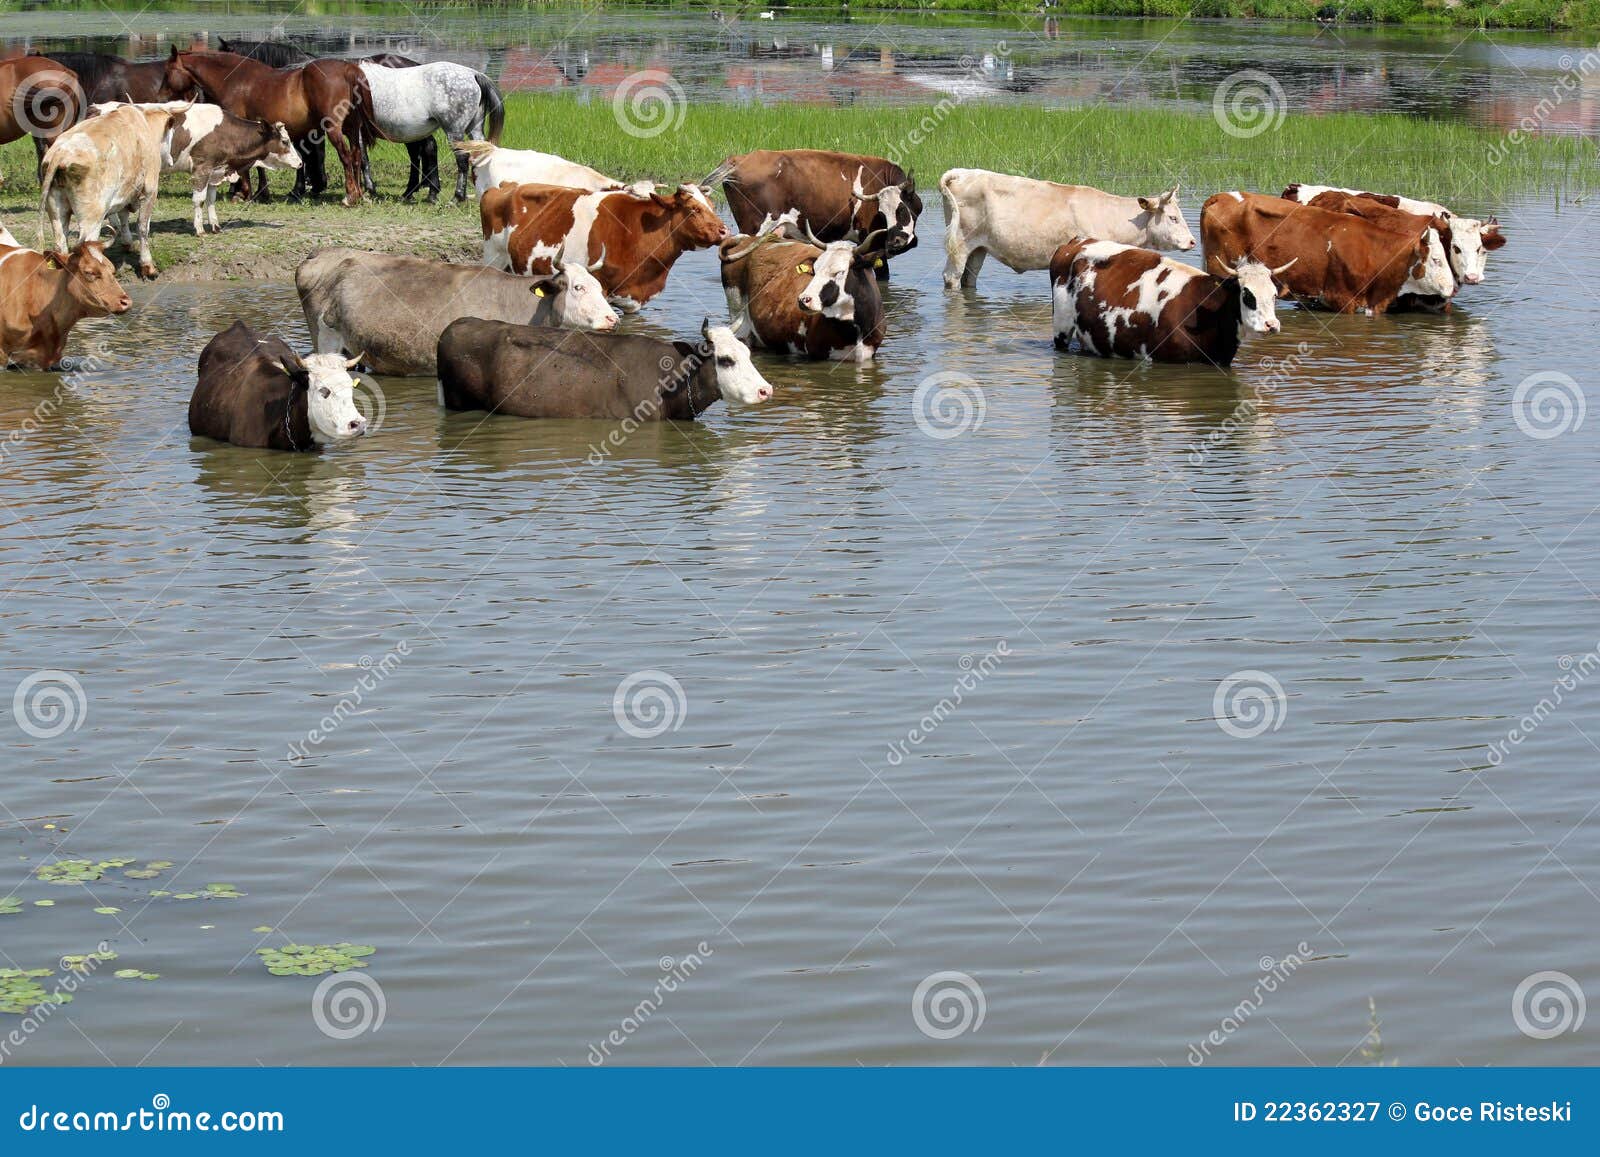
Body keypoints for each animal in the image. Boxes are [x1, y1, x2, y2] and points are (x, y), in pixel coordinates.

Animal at [39, 101, 189, 280]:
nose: (171, 159)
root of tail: (60, 153)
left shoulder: (124, 194)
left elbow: (123, 217)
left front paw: (127, 243)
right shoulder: (149, 192)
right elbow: (143, 227)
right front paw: (148, 267)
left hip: (57, 213)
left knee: (60, 247)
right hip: (91, 219)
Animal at [479, 181, 726, 312]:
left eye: (712, 206)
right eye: (693, 210)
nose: (724, 230)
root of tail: (506, 186)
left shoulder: (632, 300)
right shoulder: (602, 290)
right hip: (493, 258)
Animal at [719, 220, 889, 362]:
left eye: (839, 272)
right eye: (815, 269)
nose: (804, 300)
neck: (856, 329)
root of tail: (746, 239)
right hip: (738, 317)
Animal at [939, 169, 1196, 289]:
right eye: (1173, 218)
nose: (1193, 241)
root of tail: (962, 172)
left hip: (978, 248)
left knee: (969, 278)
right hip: (960, 244)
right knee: (952, 277)